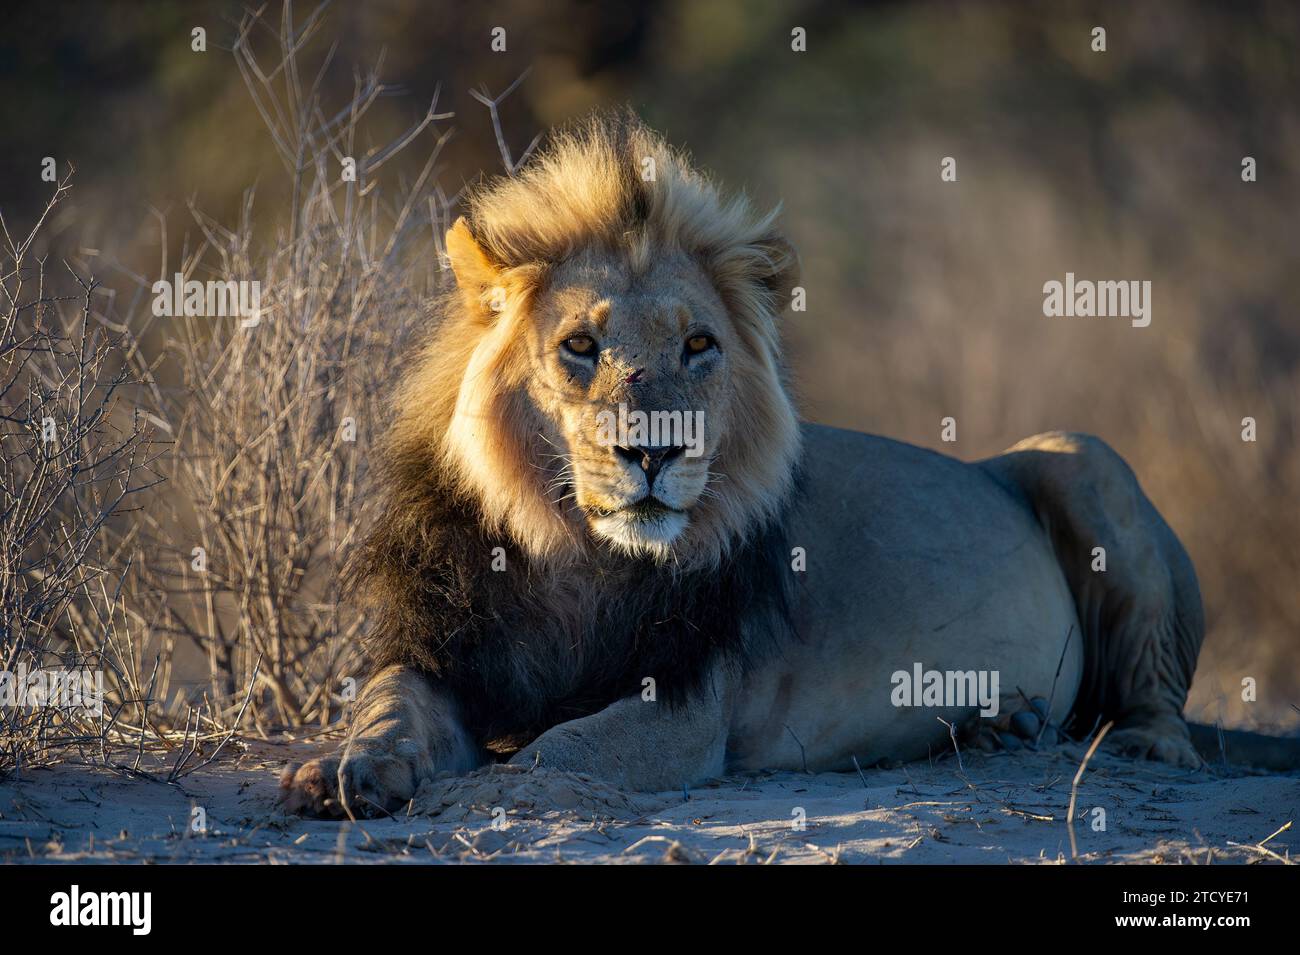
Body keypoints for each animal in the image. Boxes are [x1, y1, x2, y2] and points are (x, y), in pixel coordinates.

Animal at [280, 113, 1282, 818]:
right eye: (579, 345)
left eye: (697, 344)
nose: (655, 449)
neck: (576, 554)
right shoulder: (442, 649)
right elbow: (386, 702)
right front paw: (341, 769)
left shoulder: (685, 708)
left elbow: (548, 757)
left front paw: (495, 780)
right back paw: (1006, 726)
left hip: (1083, 457)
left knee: (1160, 704)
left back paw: (1130, 746)